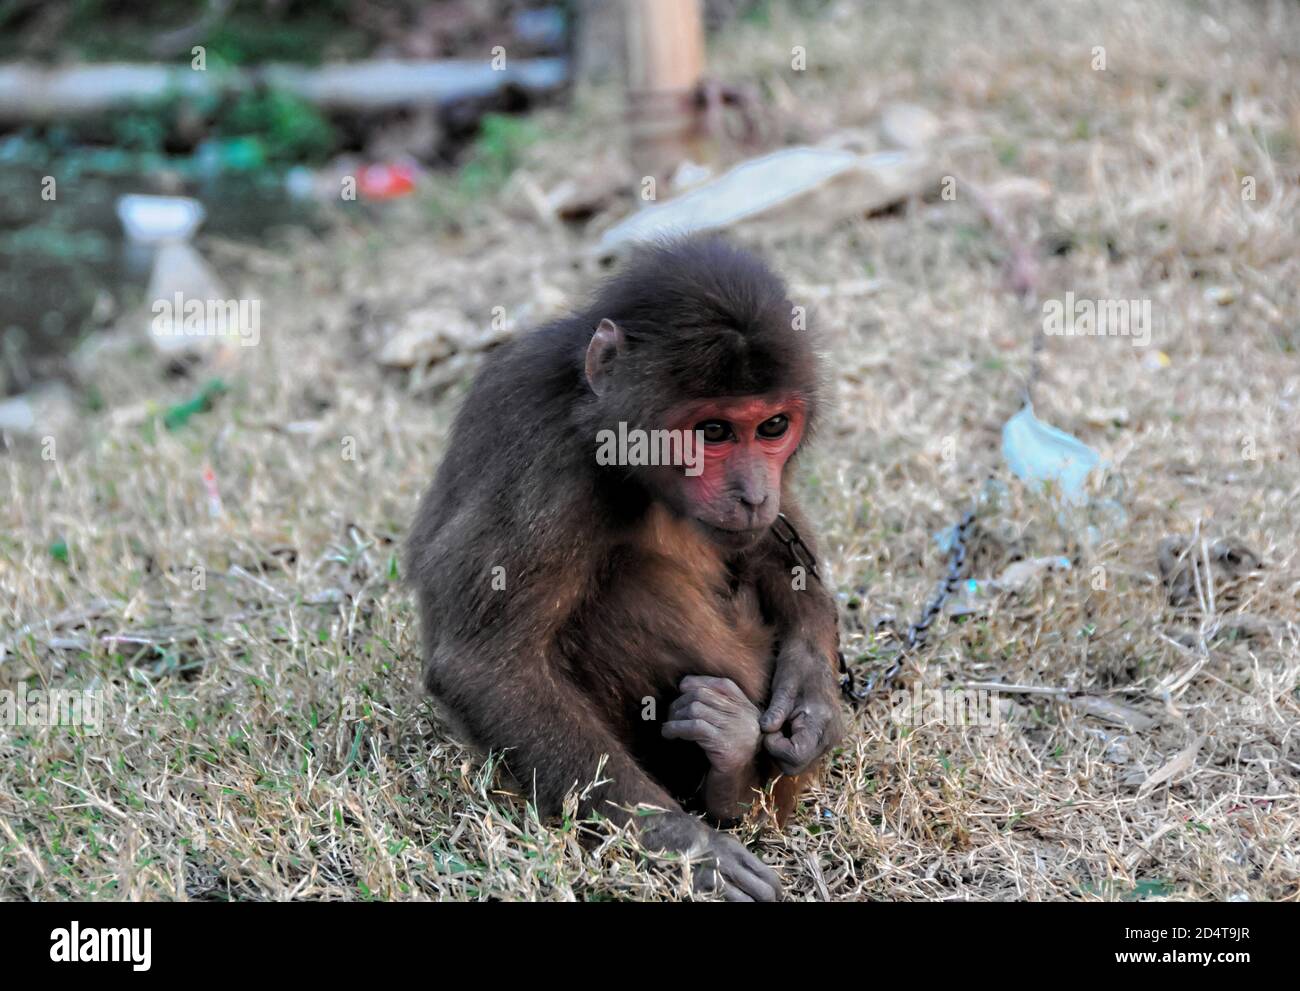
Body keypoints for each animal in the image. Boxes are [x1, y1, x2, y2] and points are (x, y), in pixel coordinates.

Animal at [407, 236, 843, 901]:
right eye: (713, 431)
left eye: (773, 426)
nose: (751, 494)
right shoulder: (551, 464)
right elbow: (482, 665)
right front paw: (688, 846)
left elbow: (776, 541)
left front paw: (811, 695)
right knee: (623, 589)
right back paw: (732, 780)